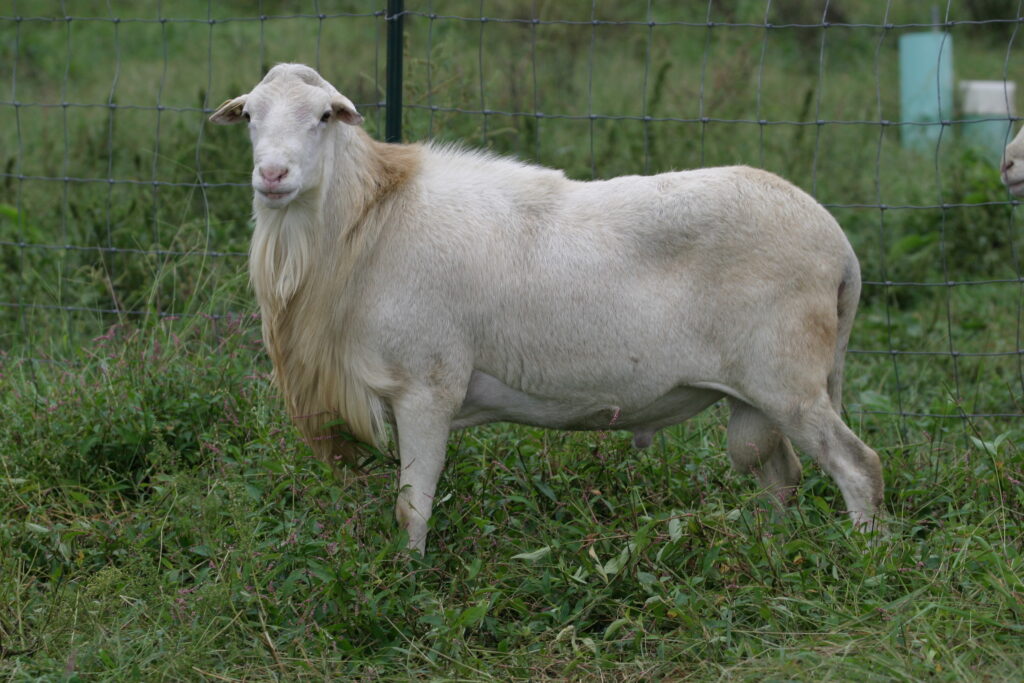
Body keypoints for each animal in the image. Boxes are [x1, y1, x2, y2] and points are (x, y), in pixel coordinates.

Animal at [210, 63, 884, 555]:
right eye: (250, 117)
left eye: (325, 116)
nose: (273, 175)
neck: (367, 223)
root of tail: (841, 248)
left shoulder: (428, 386)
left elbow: (411, 507)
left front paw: (408, 584)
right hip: (756, 397)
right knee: (781, 476)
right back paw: (773, 553)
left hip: (788, 380)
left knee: (859, 467)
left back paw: (863, 560)